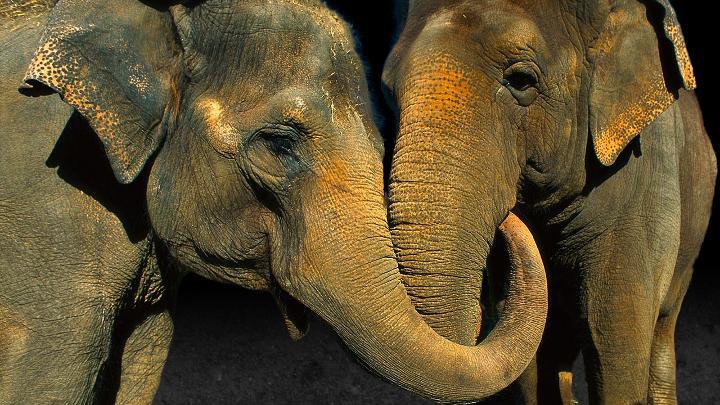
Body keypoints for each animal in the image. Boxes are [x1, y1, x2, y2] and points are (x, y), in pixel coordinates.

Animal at [383, 0, 717, 403]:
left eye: (521, 80)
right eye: (387, 90)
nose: (510, 216)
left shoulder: (647, 185)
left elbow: (614, 339)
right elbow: (529, 356)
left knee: (661, 329)